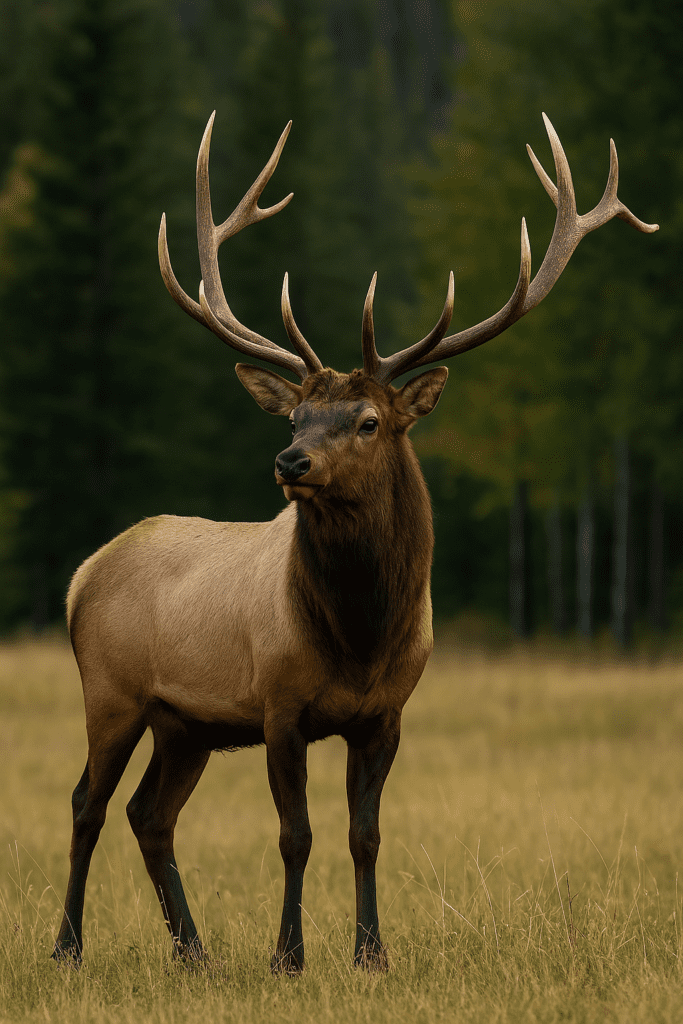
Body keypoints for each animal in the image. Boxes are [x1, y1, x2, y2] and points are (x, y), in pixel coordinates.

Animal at [51, 112, 657, 973]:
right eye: (296, 417)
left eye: (367, 421)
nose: (289, 462)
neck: (361, 635)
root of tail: (82, 573)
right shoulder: (278, 705)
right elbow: (294, 836)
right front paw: (288, 955)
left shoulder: (385, 714)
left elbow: (364, 835)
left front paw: (371, 952)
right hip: (112, 691)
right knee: (87, 804)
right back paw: (68, 947)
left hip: (186, 723)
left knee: (149, 814)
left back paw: (193, 951)